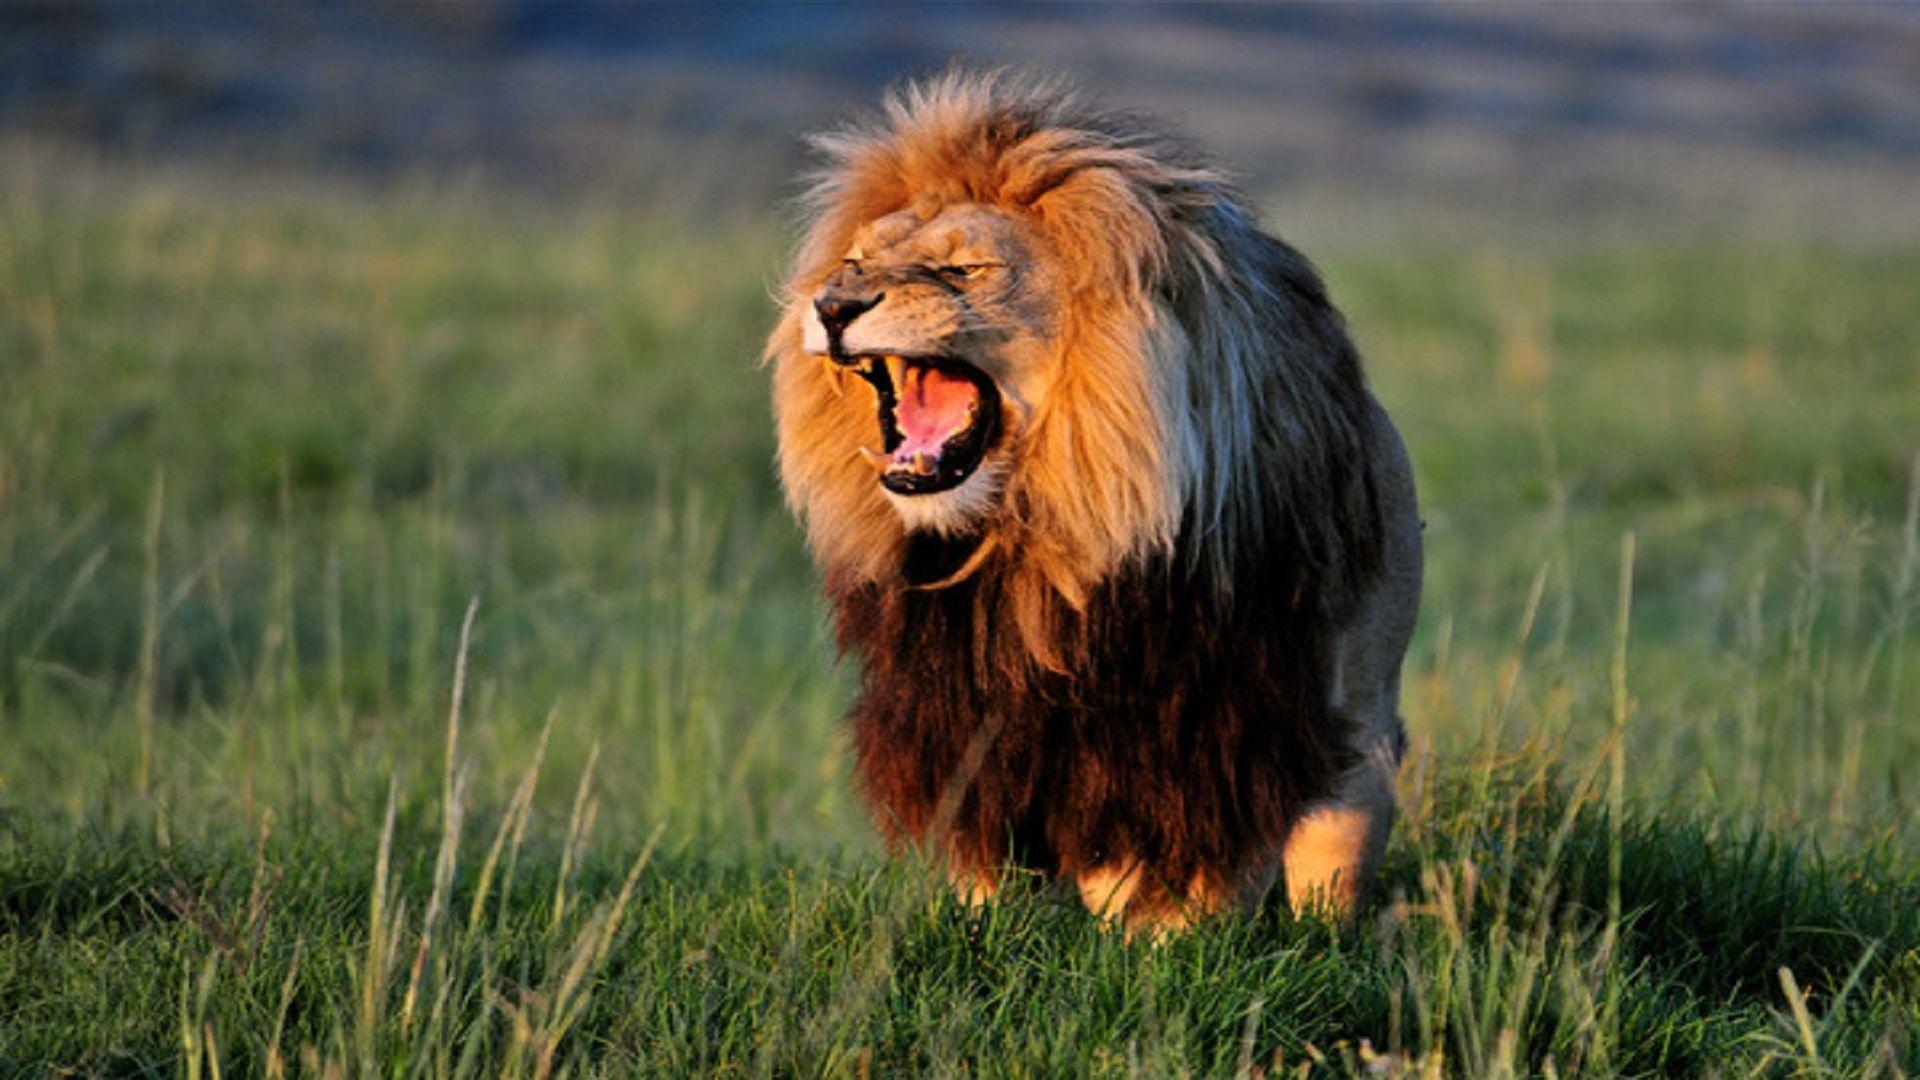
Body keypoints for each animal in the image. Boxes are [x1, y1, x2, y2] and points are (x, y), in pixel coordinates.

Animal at [766, 72, 1422, 934]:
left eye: (965, 270)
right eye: (853, 259)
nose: (832, 307)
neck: (1042, 526)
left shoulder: (1216, 711)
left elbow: (1201, 868)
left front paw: (1175, 949)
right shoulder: (967, 719)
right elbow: (992, 855)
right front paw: (992, 933)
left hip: (1358, 704)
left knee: (1338, 835)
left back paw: (1323, 939)